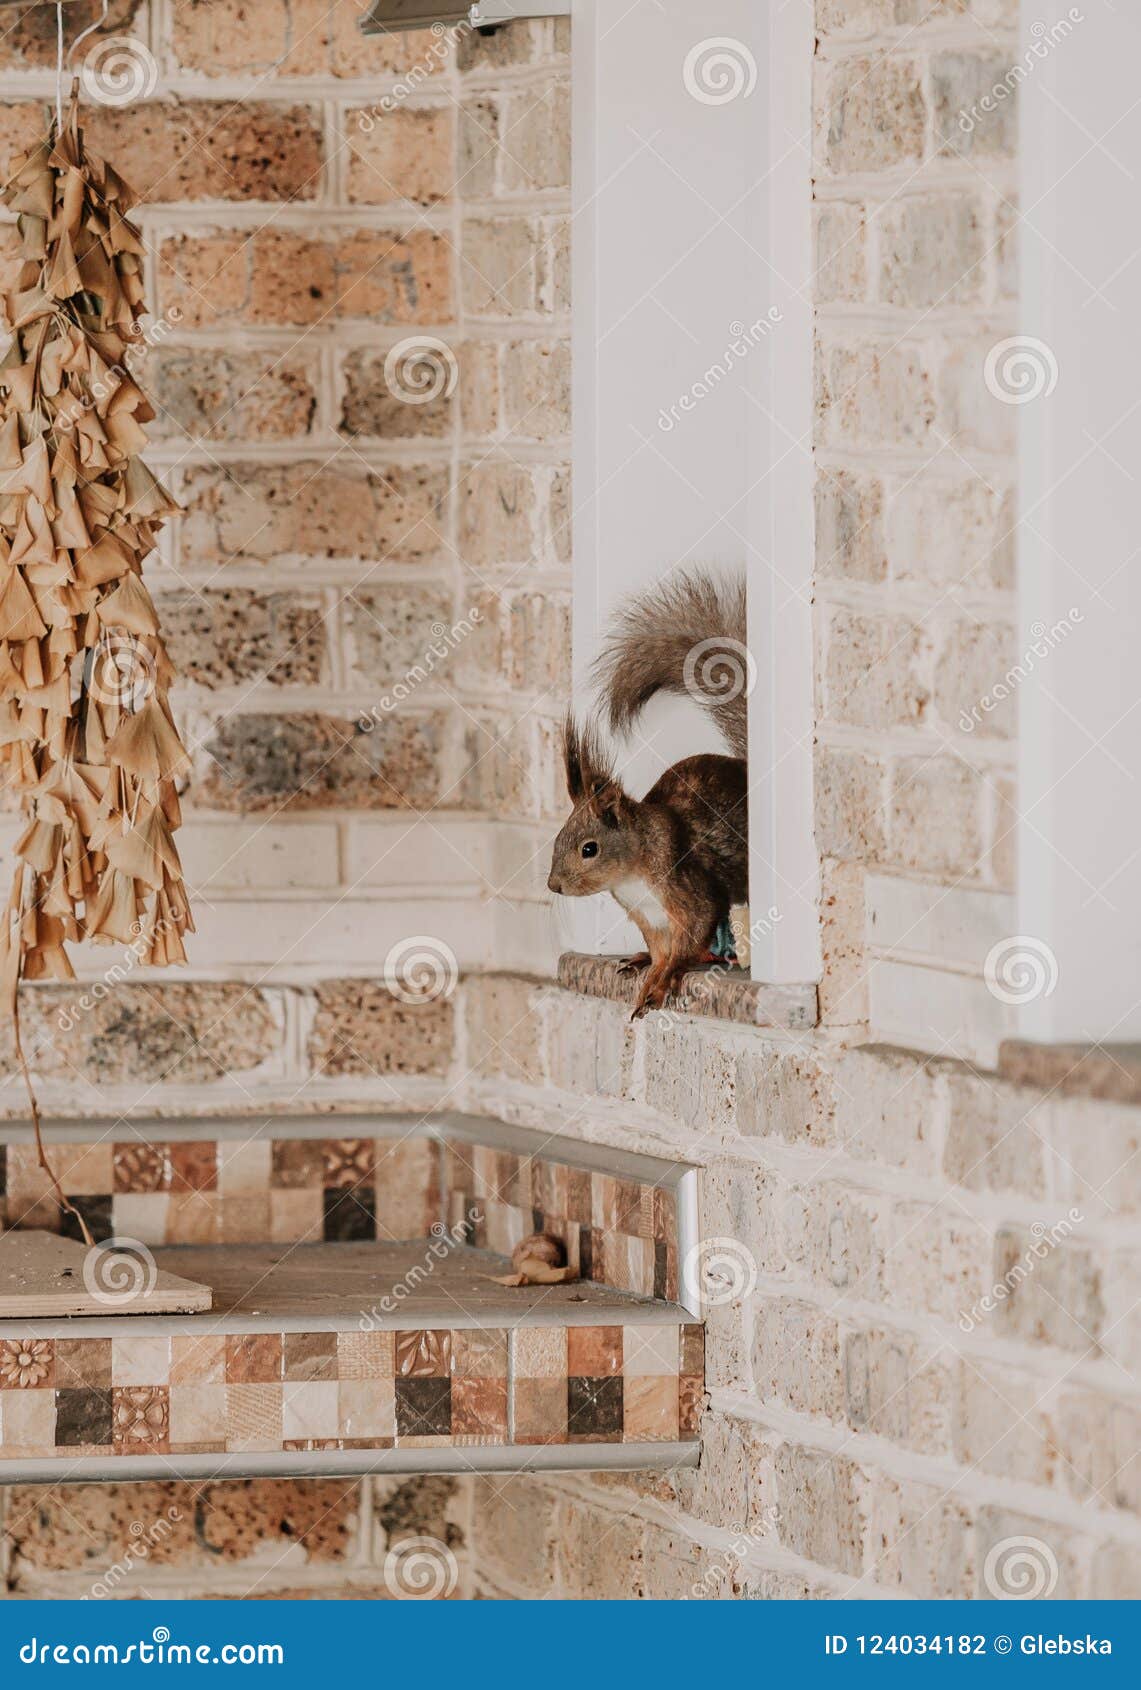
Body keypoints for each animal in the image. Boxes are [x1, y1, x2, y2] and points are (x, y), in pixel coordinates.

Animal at [547, 568, 748, 1019]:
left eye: (589, 849)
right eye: (556, 839)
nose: (554, 886)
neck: (631, 874)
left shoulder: (684, 888)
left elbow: (693, 931)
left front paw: (662, 981)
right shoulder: (649, 917)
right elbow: (660, 949)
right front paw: (652, 968)